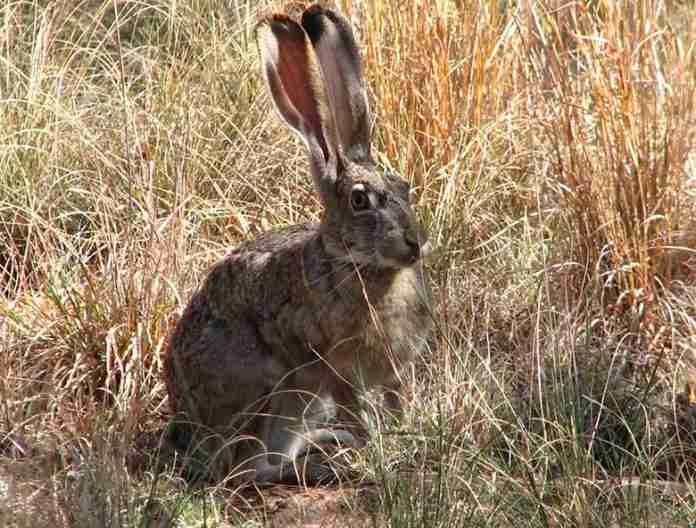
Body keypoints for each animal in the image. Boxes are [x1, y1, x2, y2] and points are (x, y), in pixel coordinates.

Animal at [163, 3, 432, 486]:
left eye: (405, 186)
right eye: (360, 200)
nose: (414, 244)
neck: (359, 266)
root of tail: (191, 433)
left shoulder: (392, 372)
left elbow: (396, 404)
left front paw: (407, 434)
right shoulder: (336, 370)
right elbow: (359, 414)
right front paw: (378, 450)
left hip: (299, 400)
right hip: (269, 389)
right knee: (245, 470)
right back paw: (318, 465)